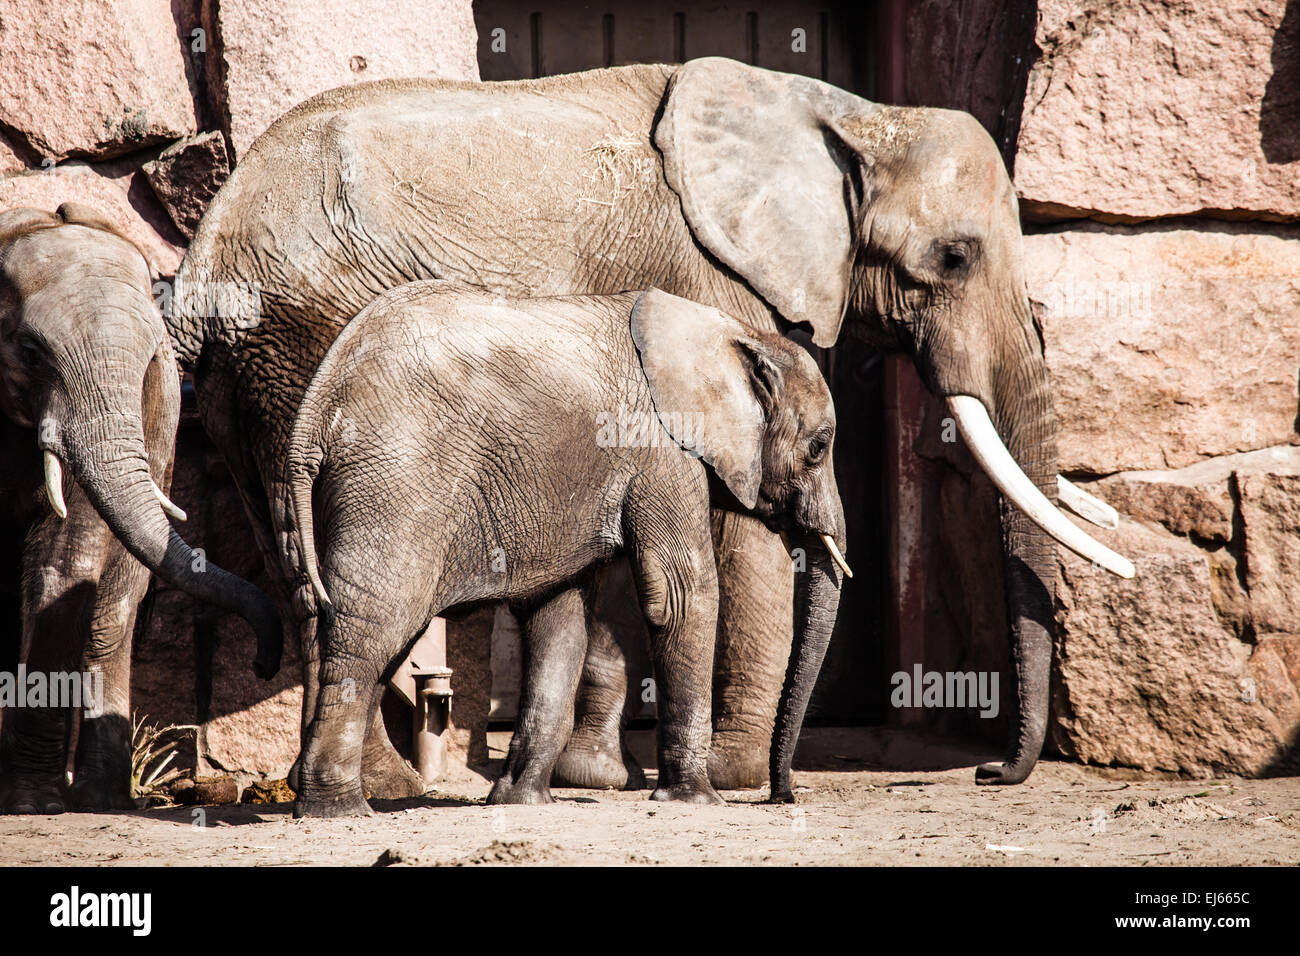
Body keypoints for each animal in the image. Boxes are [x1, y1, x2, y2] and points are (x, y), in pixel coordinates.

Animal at [0, 203, 282, 814]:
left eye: (151, 358)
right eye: (29, 352)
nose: (263, 664)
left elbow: (64, 565)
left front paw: (31, 805)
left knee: (114, 611)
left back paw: (100, 799)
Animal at [281, 284, 847, 817]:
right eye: (818, 448)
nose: (782, 797)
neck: (738, 333)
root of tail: (318, 402)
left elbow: (560, 618)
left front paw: (520, 802)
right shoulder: (663, 448)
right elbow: (682, 596)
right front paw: (698, 801)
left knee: (360, 628)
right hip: (396, 482)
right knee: (371, 627)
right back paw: (338, 809)